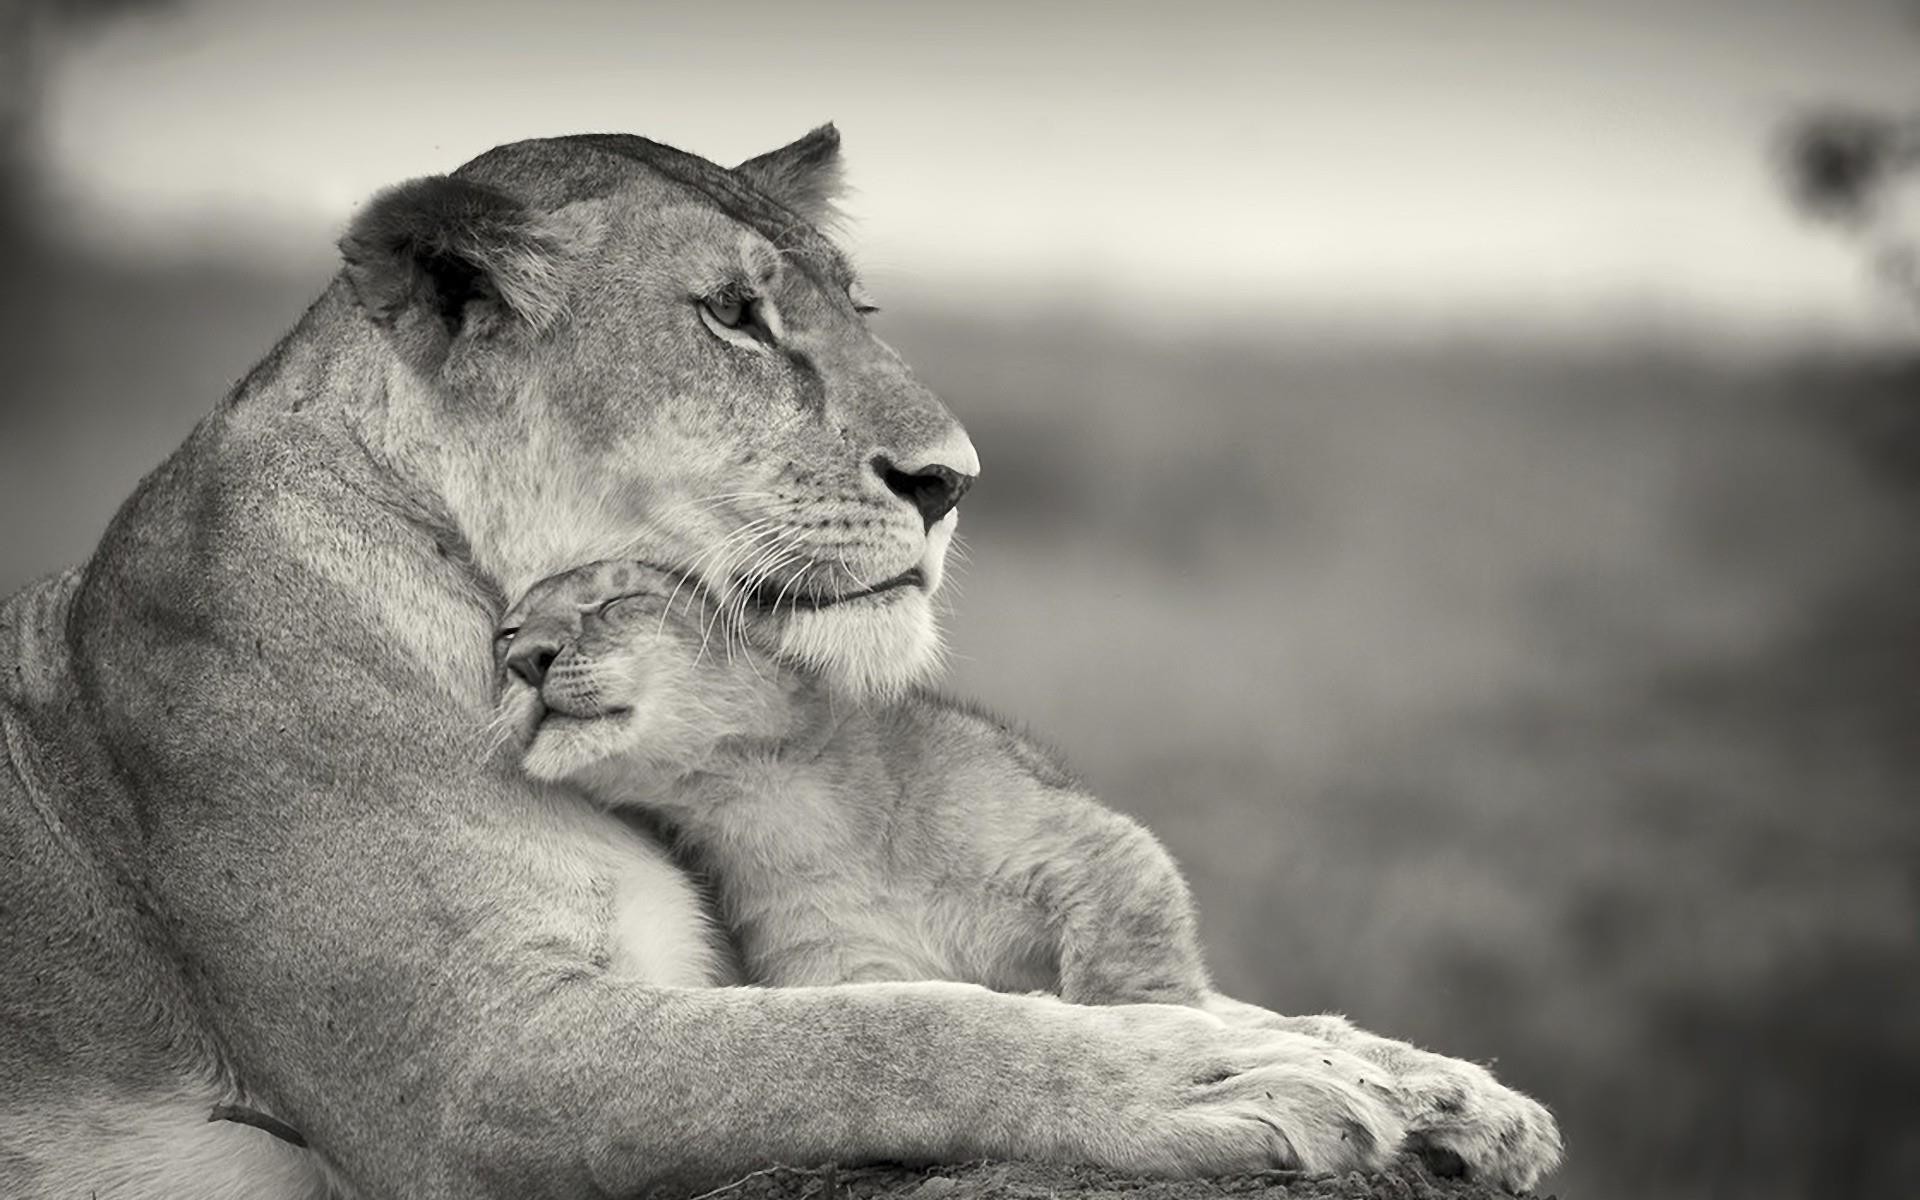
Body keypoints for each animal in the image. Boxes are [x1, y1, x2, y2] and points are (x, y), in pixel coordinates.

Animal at [0, 127, 1561, 1199]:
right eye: (732, 316)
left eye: (856, 314)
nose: (952, 481)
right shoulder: (460, 1072)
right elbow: (878, 1035)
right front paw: (1214, 1079)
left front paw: (1436, 1087)